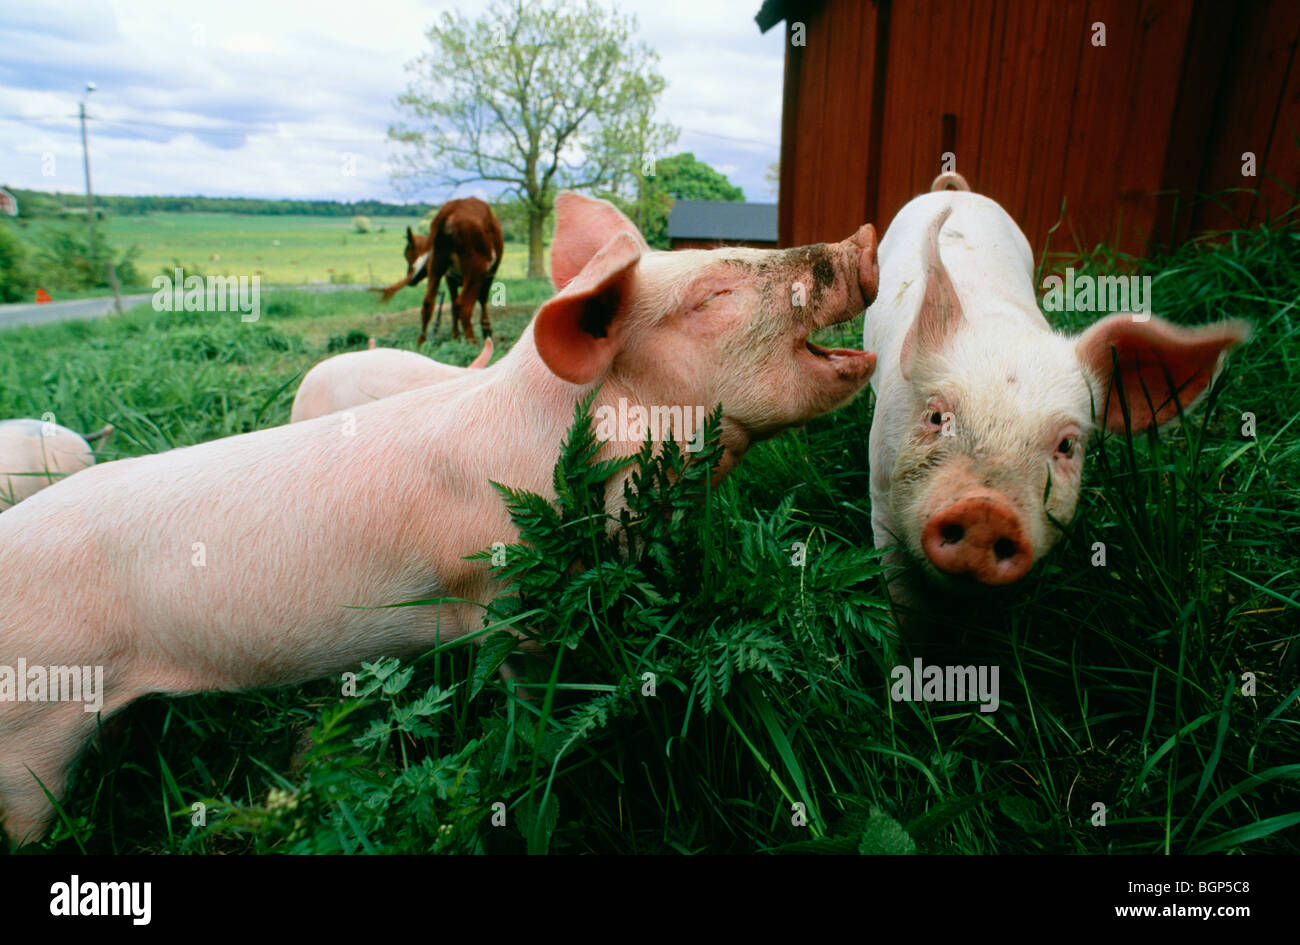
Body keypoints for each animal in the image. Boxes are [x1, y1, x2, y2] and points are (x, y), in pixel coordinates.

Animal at [864, 172, 1248, 594]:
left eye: (1066, 445)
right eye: (936, 417)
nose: (985, 509)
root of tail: (958, 192)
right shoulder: (880, 494)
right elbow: (899, 583)